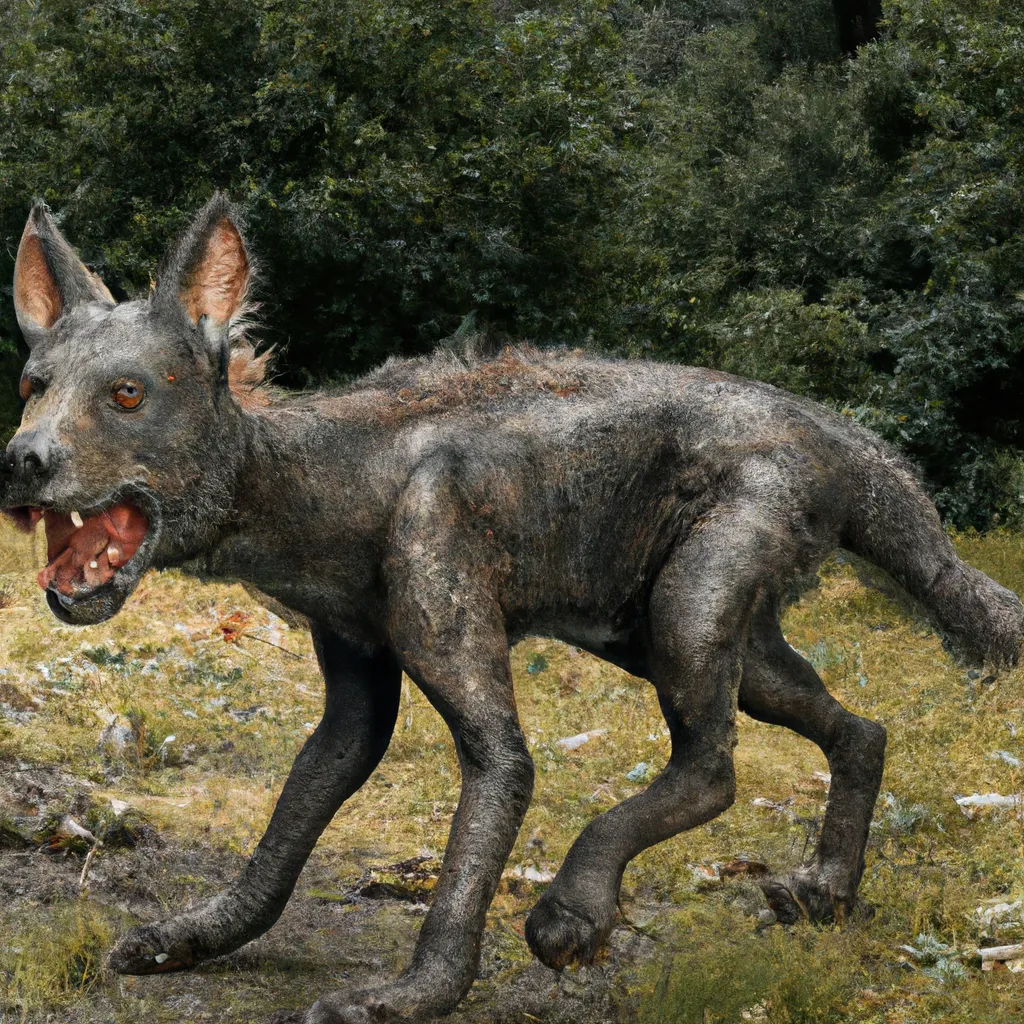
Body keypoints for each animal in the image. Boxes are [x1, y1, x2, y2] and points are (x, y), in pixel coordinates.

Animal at [4, 195, 1022, 1023]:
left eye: (126, 394)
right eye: (31, 388)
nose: (21, 460)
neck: (328, 486)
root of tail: (840, 429)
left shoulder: (445, 610)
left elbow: (497, 793)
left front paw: (410, 996)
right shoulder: (354, 688)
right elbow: (286, 829)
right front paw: (194, 937)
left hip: (691, 612)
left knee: (717, 767)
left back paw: (575, 908)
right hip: (674, 633)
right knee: (860, 730)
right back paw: (825, 892)